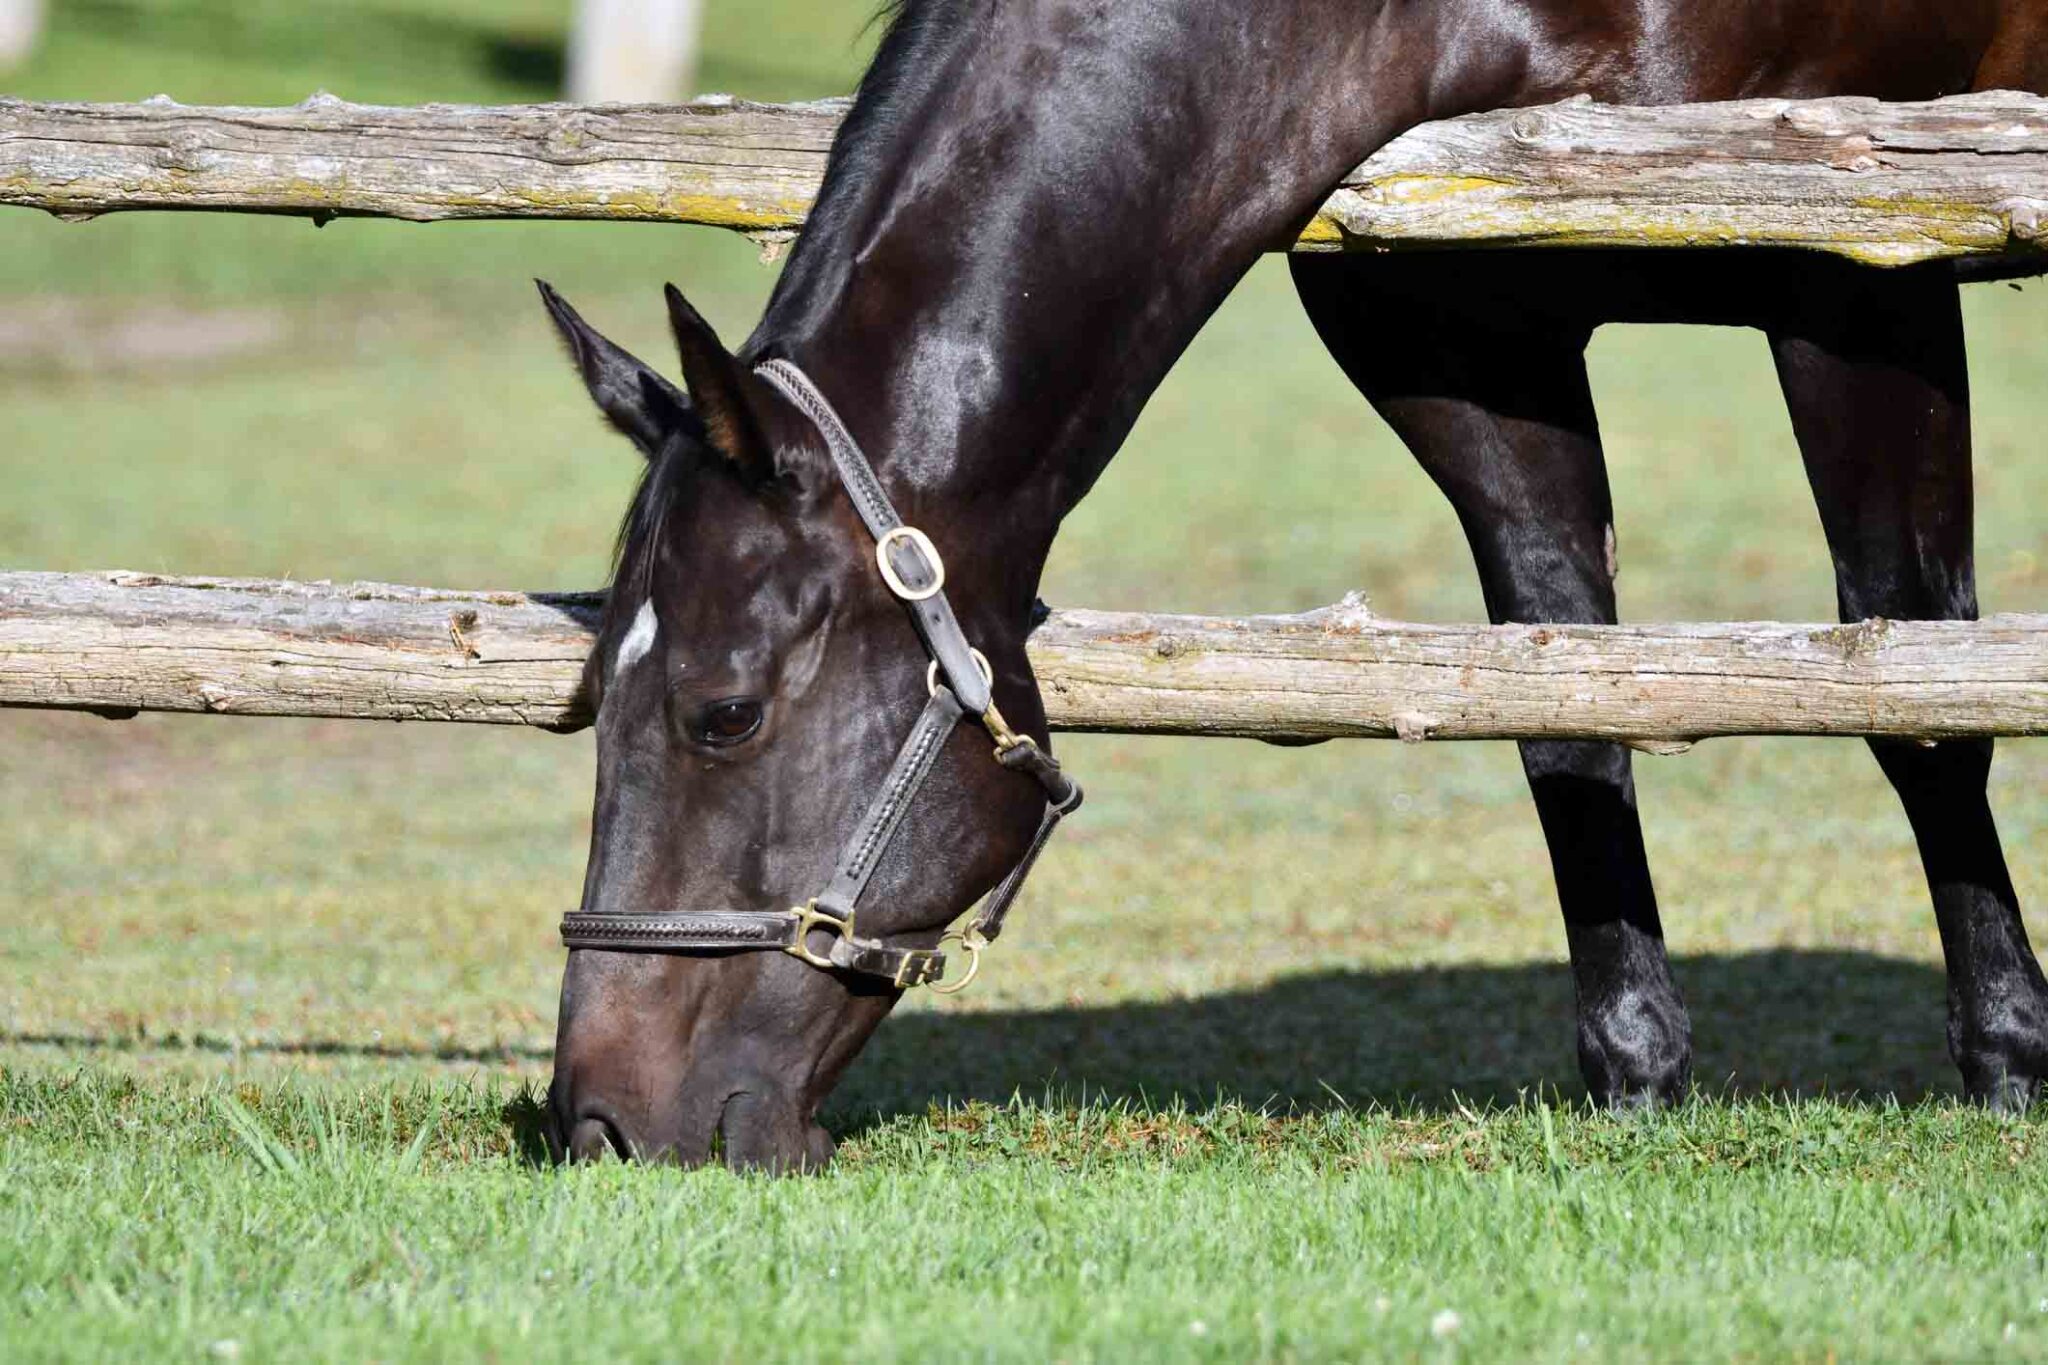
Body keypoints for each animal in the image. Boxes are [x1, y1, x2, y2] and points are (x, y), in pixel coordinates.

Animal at [538, 0, 2048, 1167]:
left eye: (723, 713)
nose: (599, 1123)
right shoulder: (1455, 333)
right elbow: (1563, 700)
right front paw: (1636, 1076)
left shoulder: (1859, 271)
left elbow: (1917, 686)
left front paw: (2010, 1055)